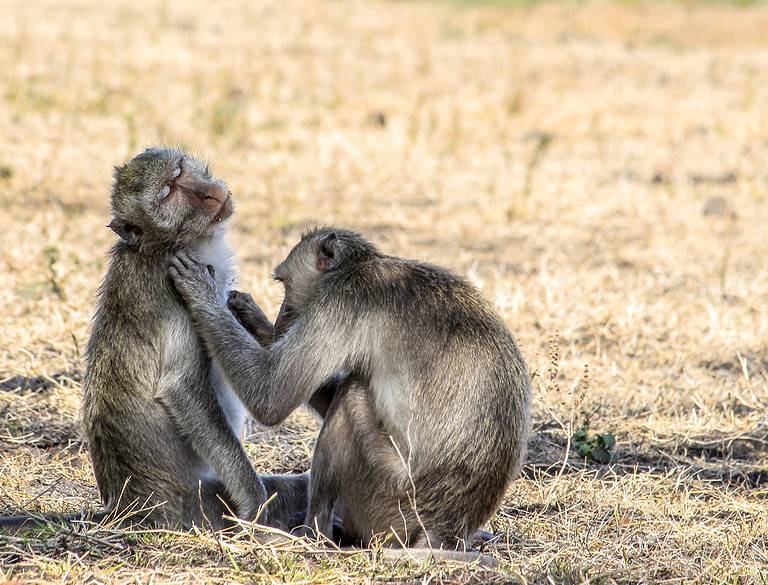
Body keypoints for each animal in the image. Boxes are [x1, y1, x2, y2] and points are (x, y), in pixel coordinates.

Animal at [168, 226, 532, 552]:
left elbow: (271, 399)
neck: (359, 266)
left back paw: (313, 535)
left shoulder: (339, 305)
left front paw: (201, 292)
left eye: (284, 284)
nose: (283, 314)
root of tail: (446, 527)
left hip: (390, 502)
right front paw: (257, 321)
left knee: (351, 398)